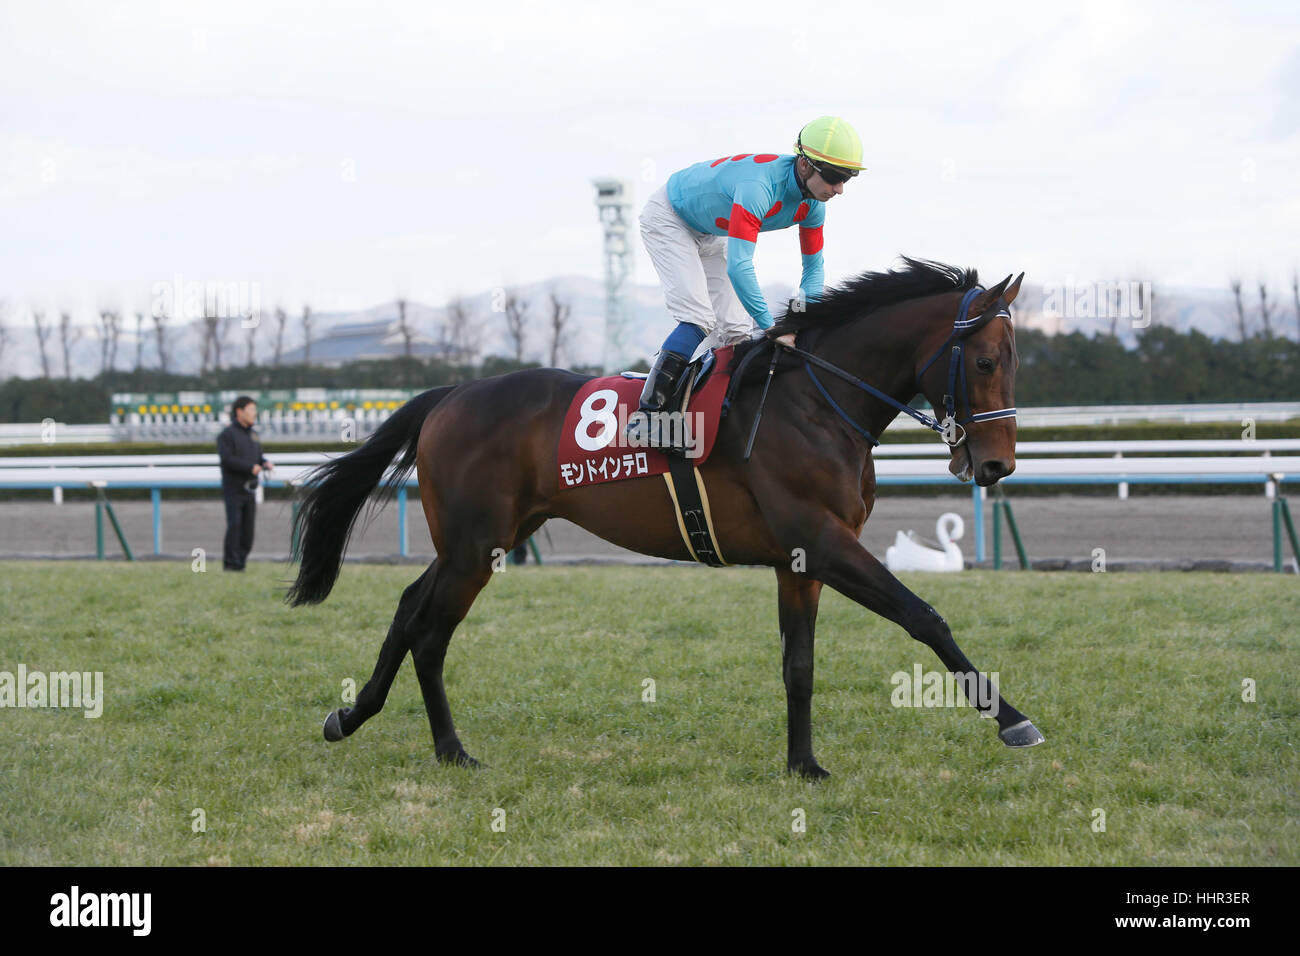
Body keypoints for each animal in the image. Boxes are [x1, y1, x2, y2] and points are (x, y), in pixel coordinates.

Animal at [287, 257, 1043, 778]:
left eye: (1017, 362)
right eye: (984, 360)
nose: (996, 466)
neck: (817, 402)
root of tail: (449, 393)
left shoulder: (801, 559)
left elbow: (799, 663)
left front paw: (803, 765)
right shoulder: (824, 540)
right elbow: (925, 617)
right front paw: (1013, 719)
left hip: (484, 541)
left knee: (411, 610)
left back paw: (369, 722)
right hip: (476, 545)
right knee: (427, 629)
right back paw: (434, 744)